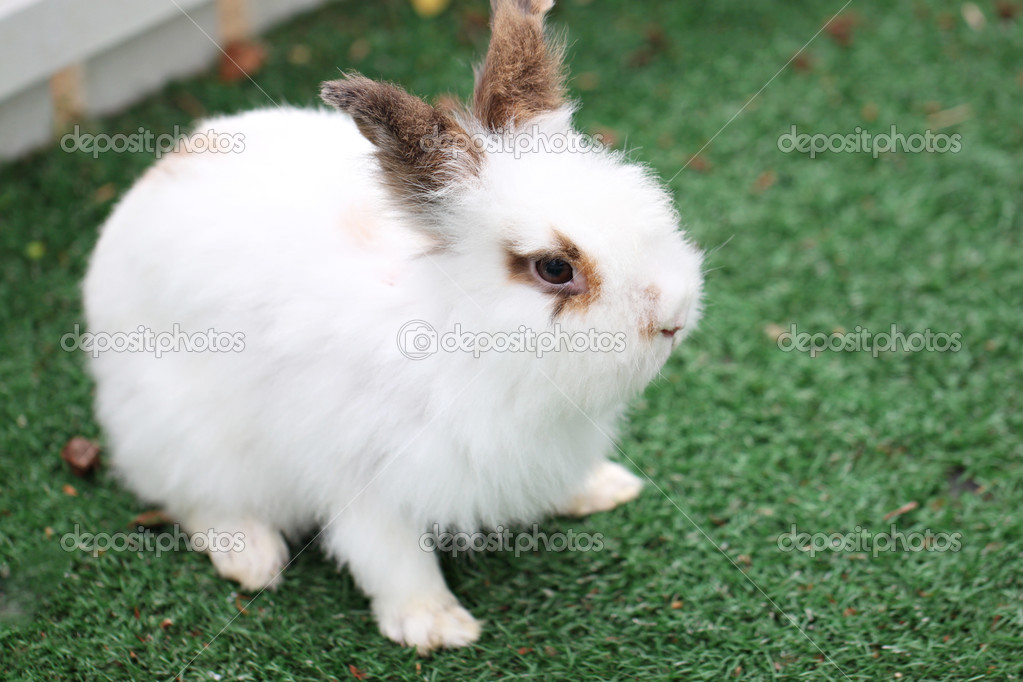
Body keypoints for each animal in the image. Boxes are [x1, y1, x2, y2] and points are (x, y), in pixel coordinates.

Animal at [82, 0, 704, 653]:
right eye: (555, 268)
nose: (674, 317)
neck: (473, 345)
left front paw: (601, 488)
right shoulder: (365, 477)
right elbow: (392, 557)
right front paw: (437, 626)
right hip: (185, 435)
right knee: (192, 499)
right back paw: (253, 560)